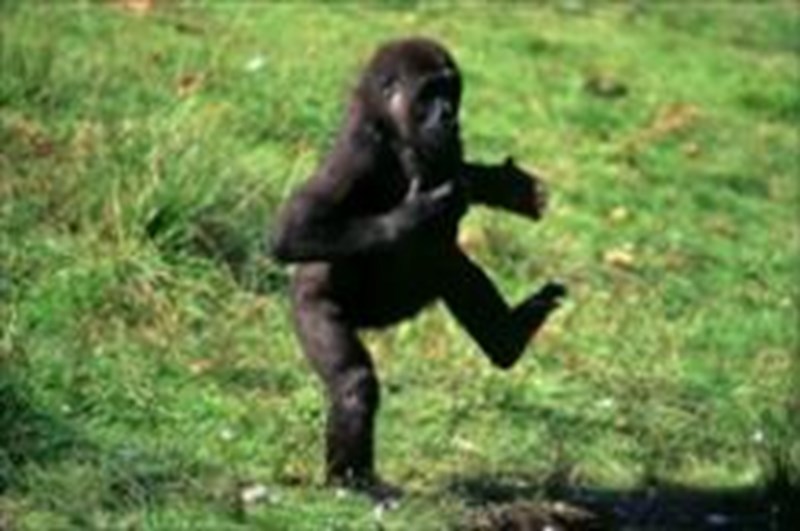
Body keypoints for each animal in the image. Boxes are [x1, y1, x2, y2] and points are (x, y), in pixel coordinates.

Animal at [269, 37, 566, 501]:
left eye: (451, 90)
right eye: (429, 93)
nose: (448, 114)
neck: (393, 130)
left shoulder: (449, 146)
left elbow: (464, 176)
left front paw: (507, 187)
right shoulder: (359, 153)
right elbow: (292, 231)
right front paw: (416, 216)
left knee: (456, 270)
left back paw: (509, 340)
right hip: (308, 303)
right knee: (353, 381)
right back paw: (351, 481)